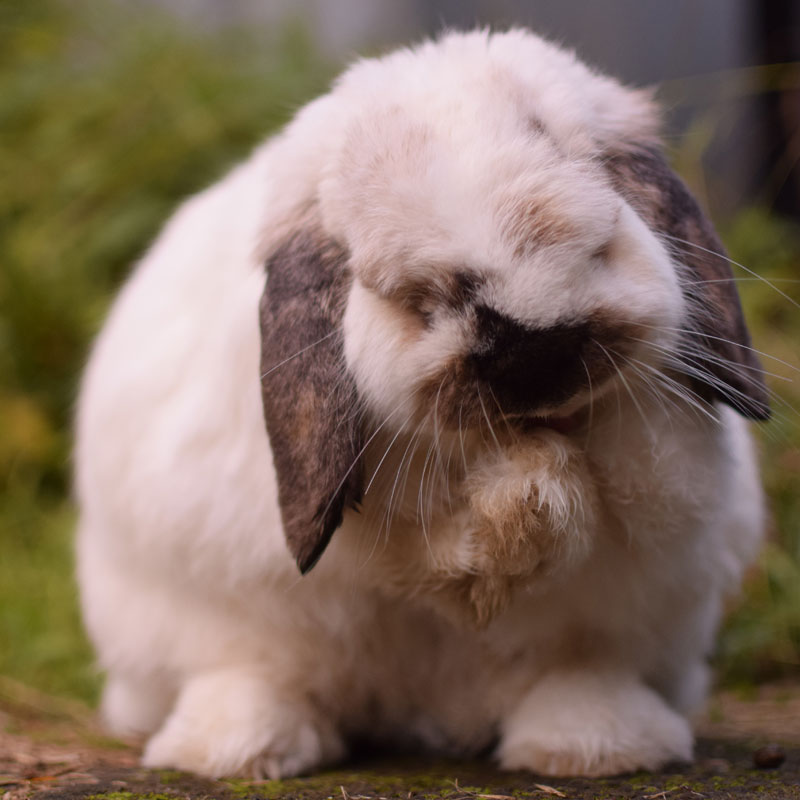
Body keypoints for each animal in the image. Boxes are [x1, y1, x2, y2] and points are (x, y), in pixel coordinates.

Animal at [74, 28, 771, 780]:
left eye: (603, 237)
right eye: (415, 297)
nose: (537, 353)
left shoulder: (663, 467)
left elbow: (628, 482)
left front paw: (542, 487)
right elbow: (425, 549)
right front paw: (526, 492)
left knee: (580, 672)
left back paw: (595, 749)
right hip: (210, 624)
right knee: (249, 673)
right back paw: (240, 750)